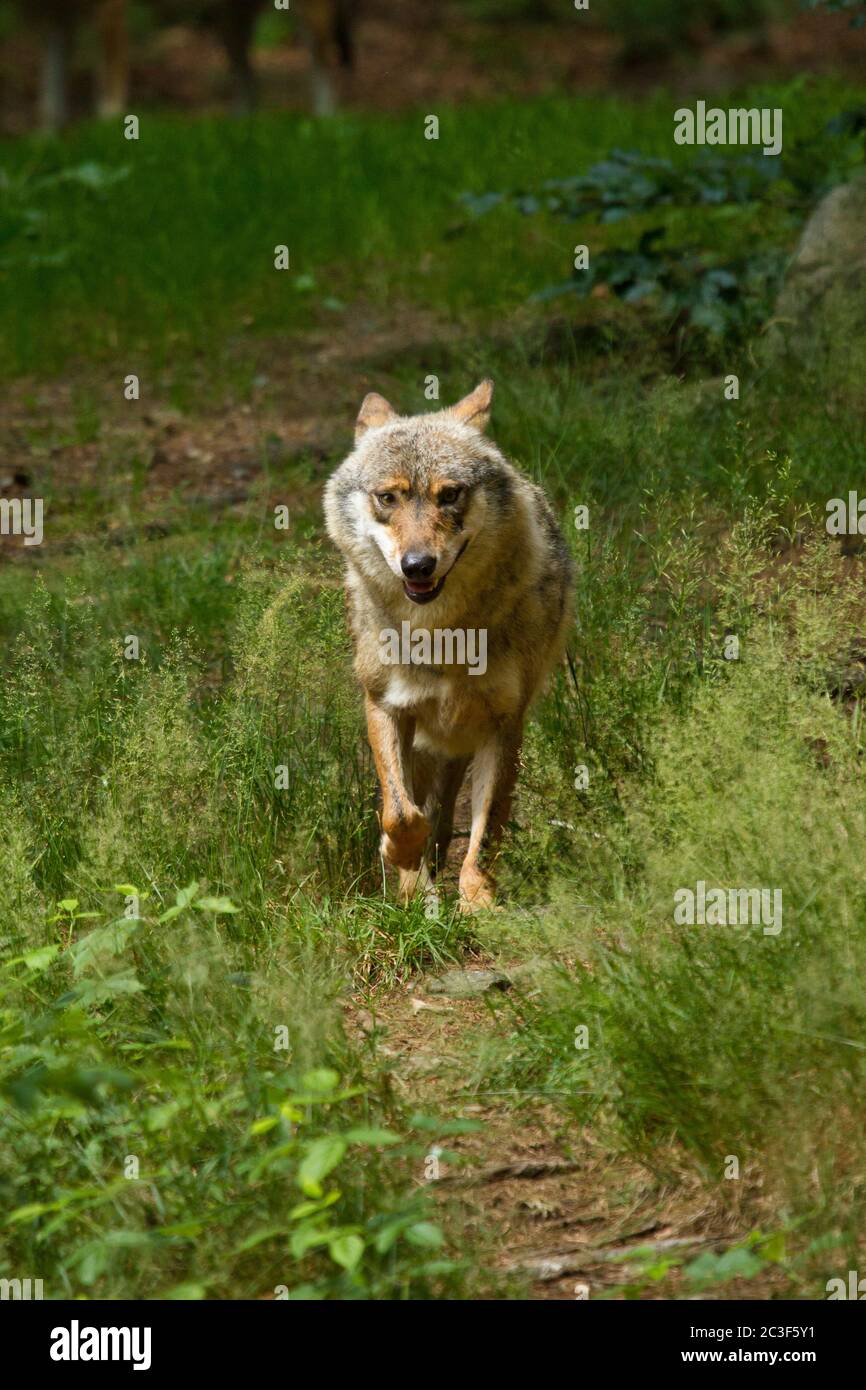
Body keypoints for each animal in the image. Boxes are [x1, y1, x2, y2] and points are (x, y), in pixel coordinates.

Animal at [324, 380, 573, 912]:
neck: (443, 634)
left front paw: (478, 902)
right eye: (388, 497)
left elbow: (489, 828)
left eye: (450, 495)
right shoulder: (384, 706)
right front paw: (401, 860)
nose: (417, 565)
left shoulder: (505, 723)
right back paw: (415, 893)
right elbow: (400, 814)